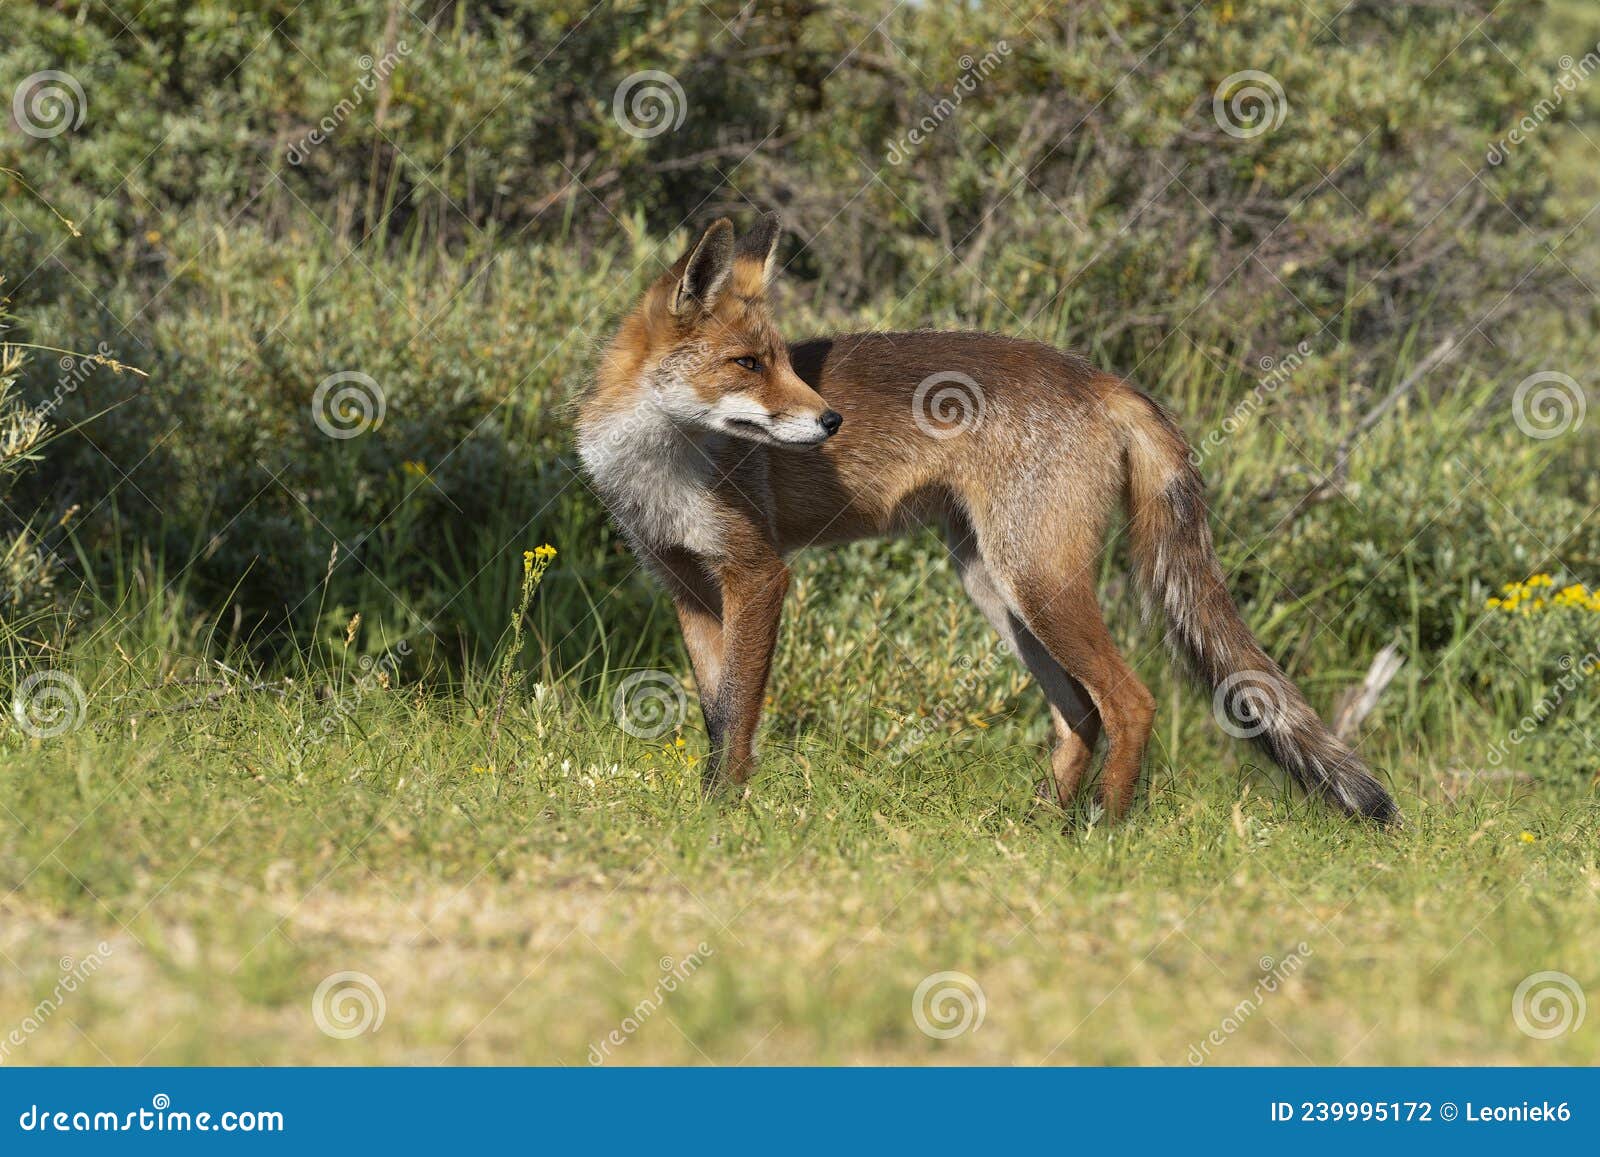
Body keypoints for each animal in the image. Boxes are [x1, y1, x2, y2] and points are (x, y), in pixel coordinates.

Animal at [576, 212, 1398, 824]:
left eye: (783, 361)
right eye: (749, 364)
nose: (831, 419)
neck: (661, 467)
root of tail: (1098, 375)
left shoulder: (759, 575)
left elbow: (738, 715)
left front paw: (724, 815)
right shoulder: (687, 587)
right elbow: (716, 713)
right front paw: (712, 809)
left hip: (1036, 580)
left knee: (1130, 702)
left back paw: (1104, 832)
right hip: (995, 588)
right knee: (1081, 715)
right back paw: (1043, 828)